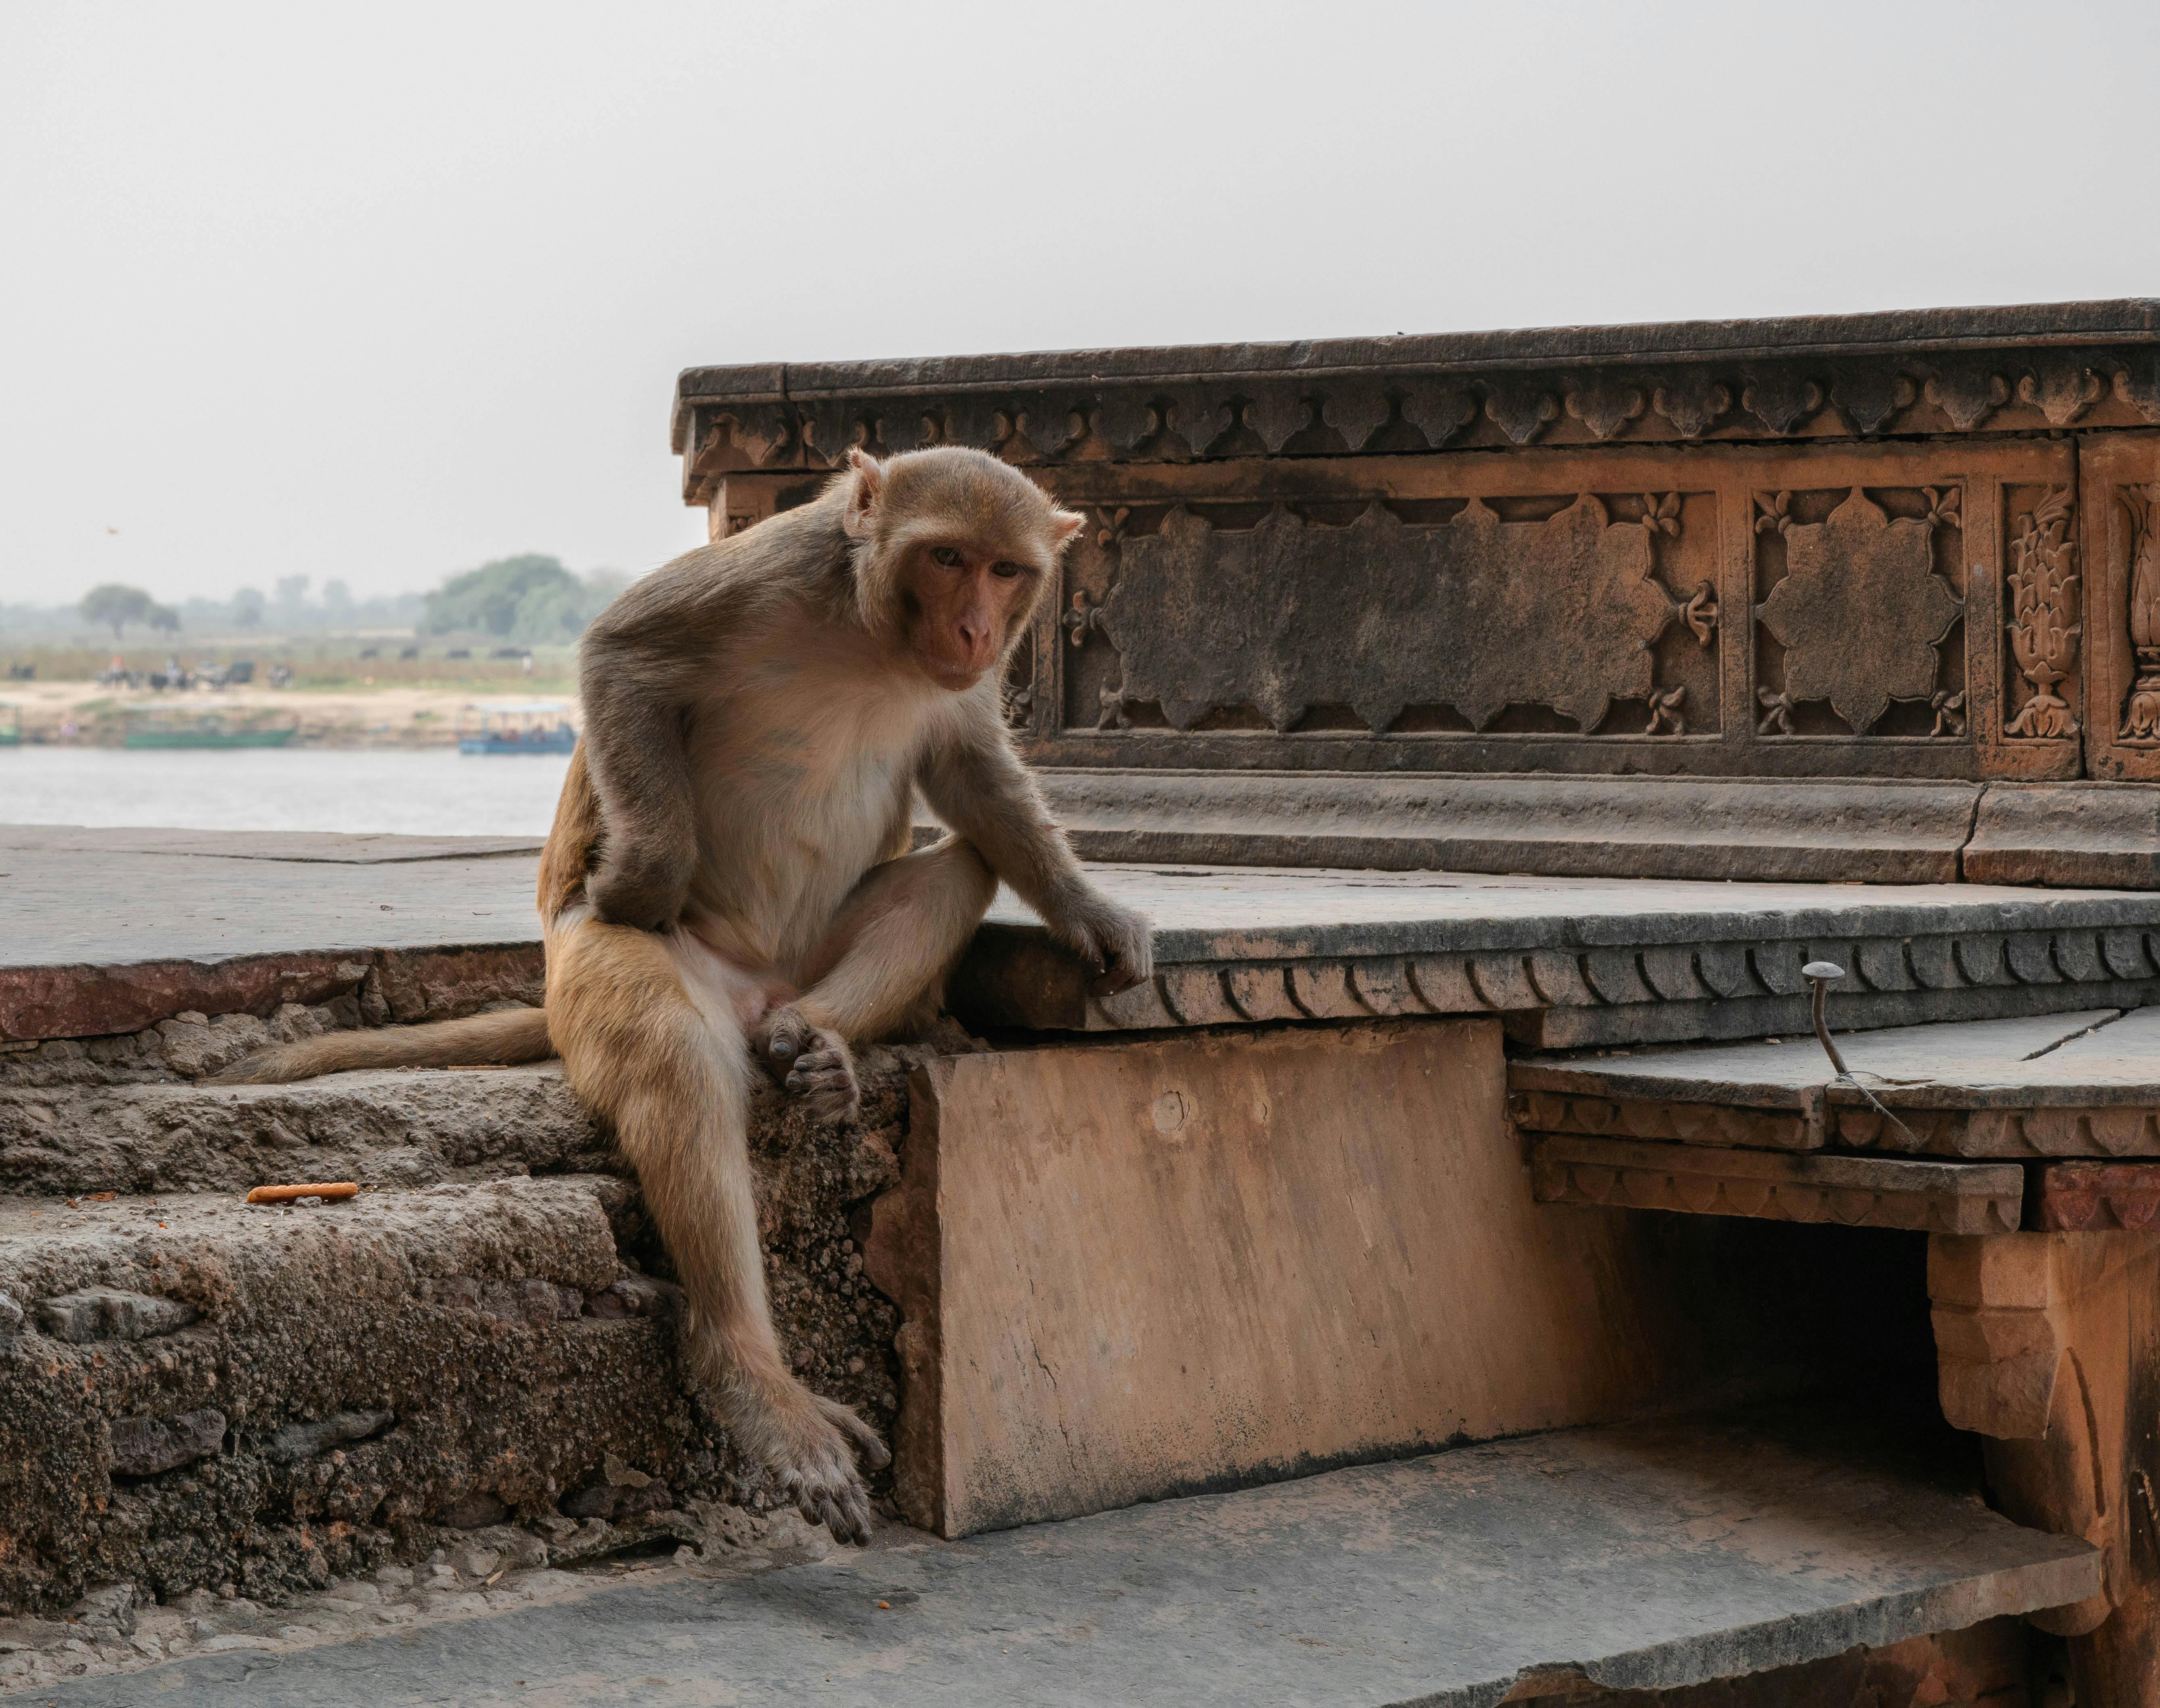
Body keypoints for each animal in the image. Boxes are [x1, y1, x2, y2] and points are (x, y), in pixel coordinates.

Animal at [217, 446, 1154, 1546]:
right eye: (946, 558)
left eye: (1007, 571)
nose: (971, 629)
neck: (871, 637)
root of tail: (759, 987)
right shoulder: (767, 574)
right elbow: (625, 654)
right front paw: (638, 878)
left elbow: (976, 782)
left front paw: (1091, 913)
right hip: (611, 974)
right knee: (674, 1052)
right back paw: (754, 1375)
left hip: (805, 962)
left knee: (958, 869)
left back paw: (818, 1045)